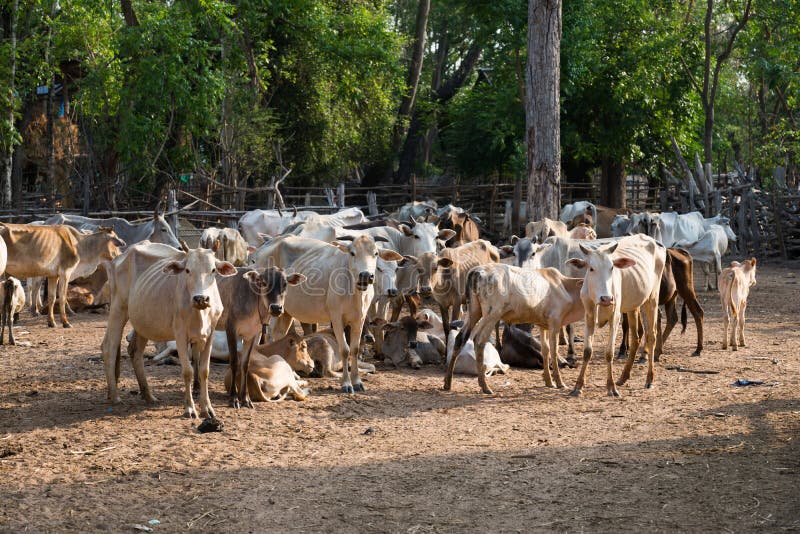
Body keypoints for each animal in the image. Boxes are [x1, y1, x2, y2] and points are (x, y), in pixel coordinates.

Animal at [101, 242, 237, 418]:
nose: (201, 298)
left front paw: (207, 408)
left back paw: (148, 395)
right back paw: (115, 396)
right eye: (187, 270)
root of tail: (118, 258)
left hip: (142, 321)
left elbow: (204, 371)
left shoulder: (210, 333)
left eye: (213, 270)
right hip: (118, 308)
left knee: (135, 351)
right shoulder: (180, 334)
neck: (199, 312)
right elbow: (188, 371)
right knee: (109, 347)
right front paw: (190, 408)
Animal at [214, 266, 306, 408]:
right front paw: (234, 398)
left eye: (285, 284)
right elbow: (234, 362)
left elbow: (245, 364)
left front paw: (245, 398)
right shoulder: (230, 329)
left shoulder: (251, 335)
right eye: (263, 283)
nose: (276, 308)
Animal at [270, 235, 402, 393]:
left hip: (285, 312)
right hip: (271, 308)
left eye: (375, 253)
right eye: (352, 253)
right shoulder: (337, 318)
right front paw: (346, 384)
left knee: (279, 336)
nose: (365, 275)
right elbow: (344, 349)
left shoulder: (359, 319)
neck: (354, 292)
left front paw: (357, 382)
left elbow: (354, 349)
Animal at [446, 264, 585, 394]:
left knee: (460, 338)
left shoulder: (543, 325)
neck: (564, 286)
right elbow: (554, 351)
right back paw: (485, 386)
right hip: (492, 314)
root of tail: (476, 271)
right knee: (479, 340)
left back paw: (448, 383)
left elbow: (545, 350)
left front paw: (549, 382)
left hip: (474, 311)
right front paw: (560, 383)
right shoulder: (555, 323)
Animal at [566, 235, 666, 397]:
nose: (606, 298)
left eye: (612, 267)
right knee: (635, 337)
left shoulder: (615, 316)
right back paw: (623, 377)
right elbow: (587, 351)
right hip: (633, 306)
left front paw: (611, 387)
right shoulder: (589, 315)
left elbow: (609, 353)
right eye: (591, 268)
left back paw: (649, 379)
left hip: (652, 298)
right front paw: (578, 386)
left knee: (651, 335)